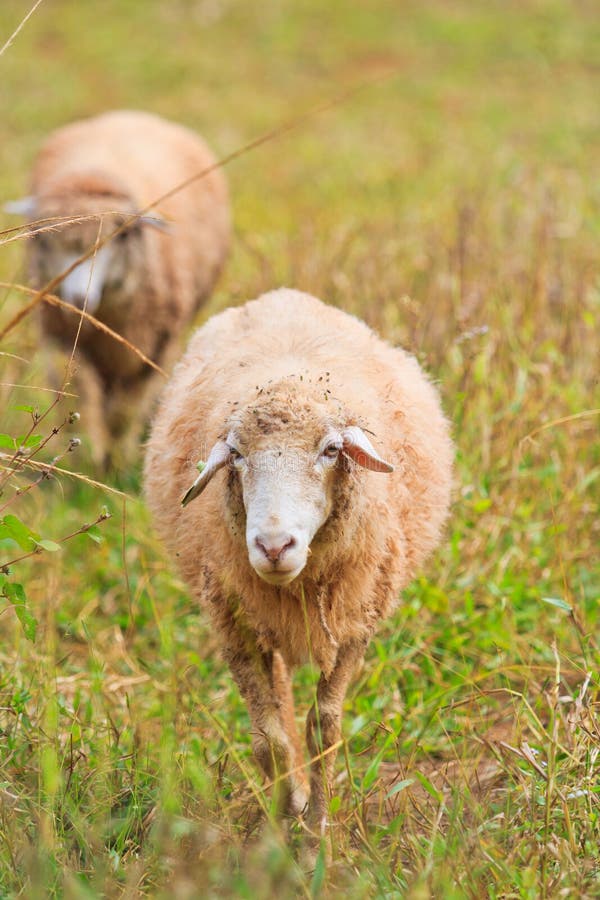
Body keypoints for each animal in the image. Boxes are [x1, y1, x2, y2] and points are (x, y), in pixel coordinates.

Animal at [6, 109, 230, 467]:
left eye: (123, 235)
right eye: (43, 238)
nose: (78, 298)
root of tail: (131, 115)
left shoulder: (154, 347)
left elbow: (124, 413)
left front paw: (118, 461)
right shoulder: (62, 339)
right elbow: (77, 399)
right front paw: (87, 460)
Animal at [143, 288, 453, 837]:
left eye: (331, 450)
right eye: (236, 455)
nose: (273, 546)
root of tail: (283, 296)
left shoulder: (354, 625)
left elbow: (322, 729)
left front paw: (317, 829)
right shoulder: (234, 624)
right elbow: (270, 738)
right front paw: (284, 817)